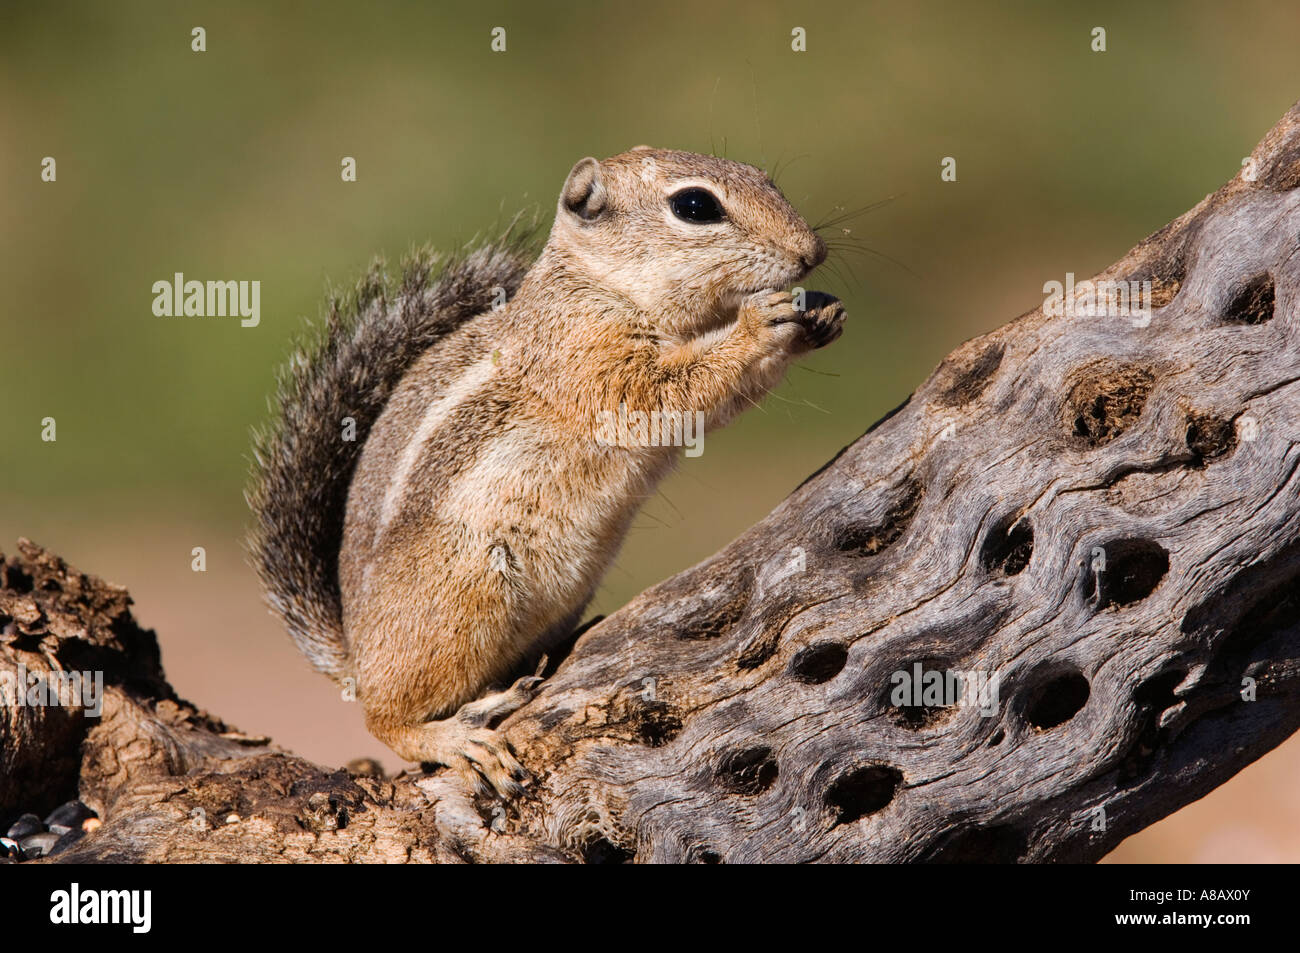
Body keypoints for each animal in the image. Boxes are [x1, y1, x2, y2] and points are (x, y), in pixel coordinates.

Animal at [247, 147, 846, 797]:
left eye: (766, 179)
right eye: (695, 206)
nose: (811, 251)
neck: (597, 283)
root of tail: (356, 654)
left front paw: (822, 314)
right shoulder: (586, 357)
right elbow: (660, 396)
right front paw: (759, 326)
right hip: (461, 597)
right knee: (385, 719)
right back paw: (456, 737)